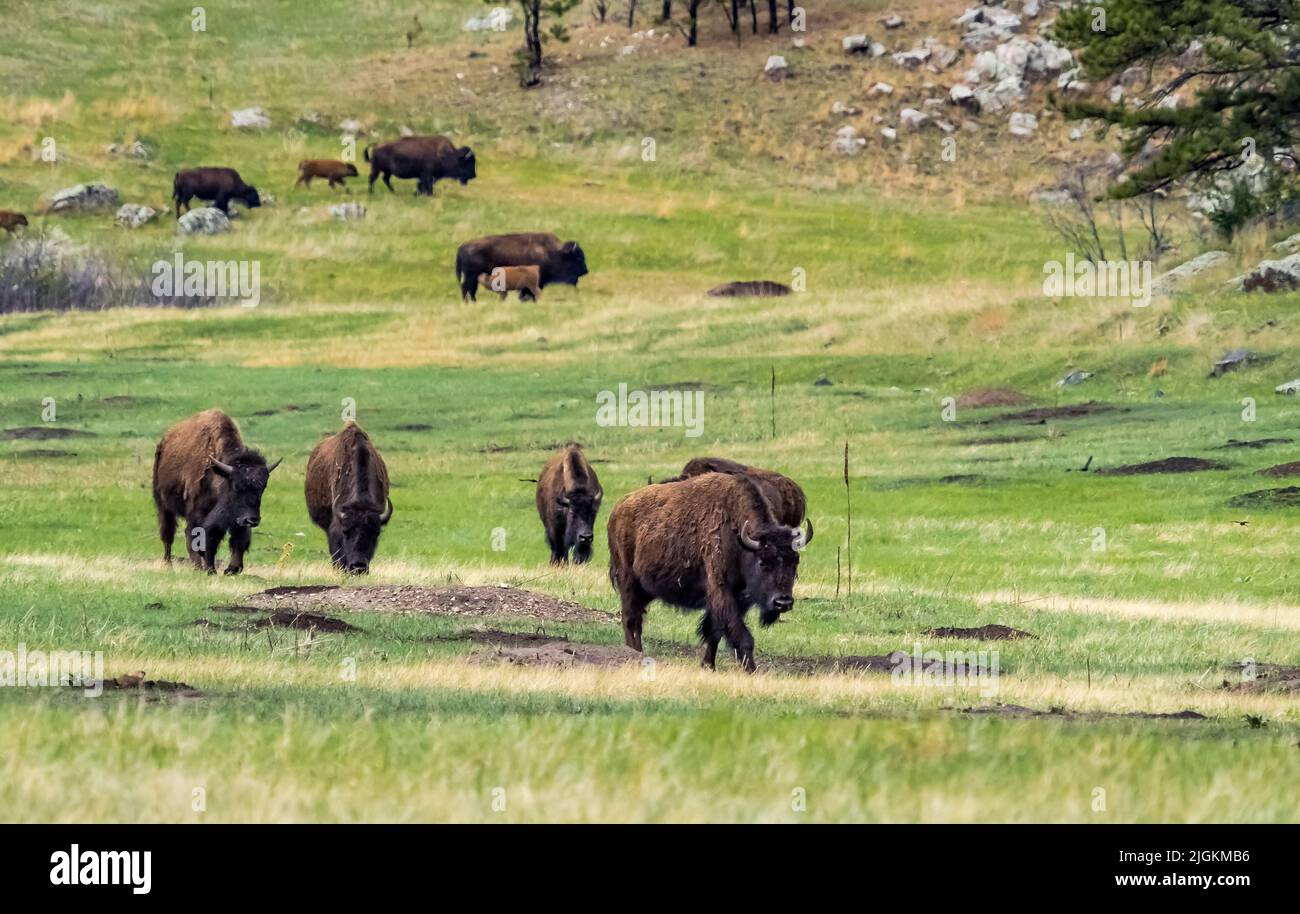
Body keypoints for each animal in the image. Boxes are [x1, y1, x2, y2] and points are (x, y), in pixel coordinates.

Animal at [152, 409, 281, 575]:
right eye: (236, 486)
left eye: (263, 487)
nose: (252, 520)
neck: (220, 474)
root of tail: (164, 442)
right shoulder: (198, 516)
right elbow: (199, 539)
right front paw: (207, 569)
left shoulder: (235, 520)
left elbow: (236, 541)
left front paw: (232, 569)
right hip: (163, 505)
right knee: (168, 535)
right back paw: (169, 564)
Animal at [455, 232, 588, 302]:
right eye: (578, 258)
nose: (585, 271)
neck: (553, 252)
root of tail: (463, 246)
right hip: (471, 276)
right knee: (467, 288)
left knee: (470, 290)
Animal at [608, 472, 812, 672]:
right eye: (762, 562)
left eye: (795, 562)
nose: (782, 602)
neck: (740, 541)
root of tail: (618, 509)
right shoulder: (721, 591)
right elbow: (740, 634)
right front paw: (752, 670)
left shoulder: (737, 600)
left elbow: (715, 632)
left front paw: (708, 665)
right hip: (628, 580)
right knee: (630, 618)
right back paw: (634, 653)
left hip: (647, 589)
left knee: (637, 619)